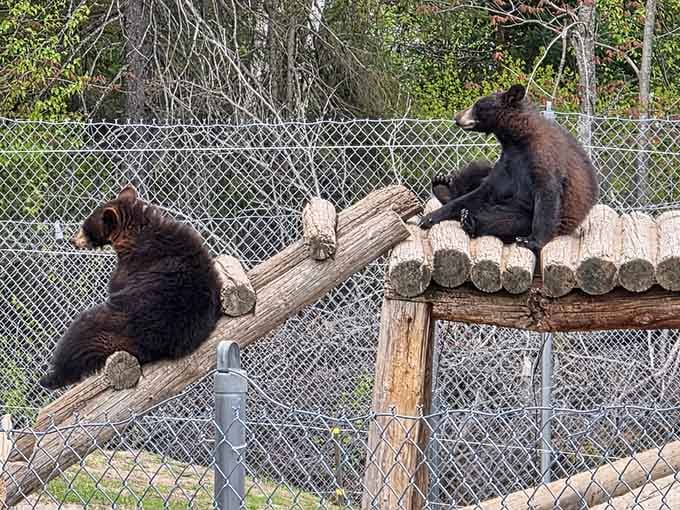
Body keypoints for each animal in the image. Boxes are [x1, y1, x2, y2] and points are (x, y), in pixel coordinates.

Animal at [39, 185, 222, 390]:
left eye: (85, 227)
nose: (72, 240)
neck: (135, 234)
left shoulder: (132, 264)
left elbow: (116, 284)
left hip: (109, 327)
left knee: (77, 336)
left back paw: (51, 377)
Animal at [418, 84, 599, 252]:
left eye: (478, 106)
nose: (457, 117)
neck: (517, 139)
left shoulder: (544, 157)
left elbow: (547, 194)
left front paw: (532, 241)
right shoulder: (508, 162)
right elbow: (483, 191)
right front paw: (429, 217)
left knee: (507, 220)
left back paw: (471, 222)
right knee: (478, 169)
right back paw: (442, 186)